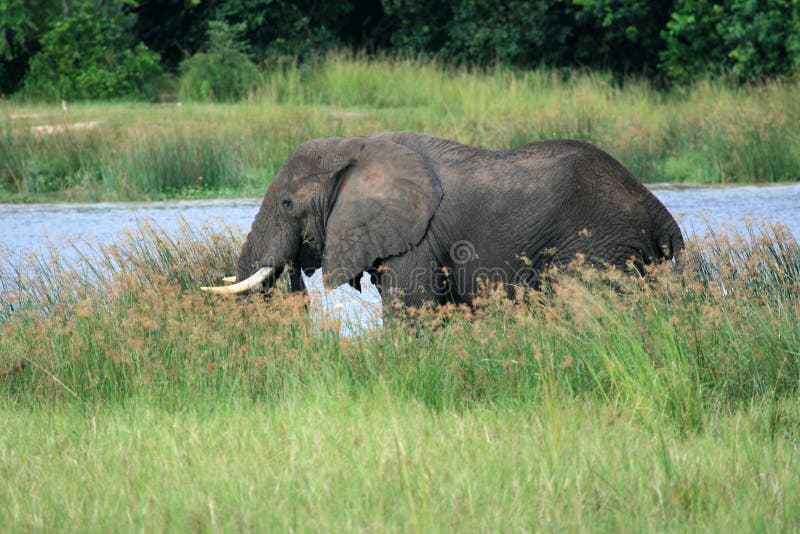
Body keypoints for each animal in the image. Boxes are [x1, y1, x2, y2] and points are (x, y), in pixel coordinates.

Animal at [202, 131, 684, 306]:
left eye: (286, 204)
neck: (354, 146)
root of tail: (662, 215)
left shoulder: (418, 239)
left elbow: (411, 310)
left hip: (600, 246)